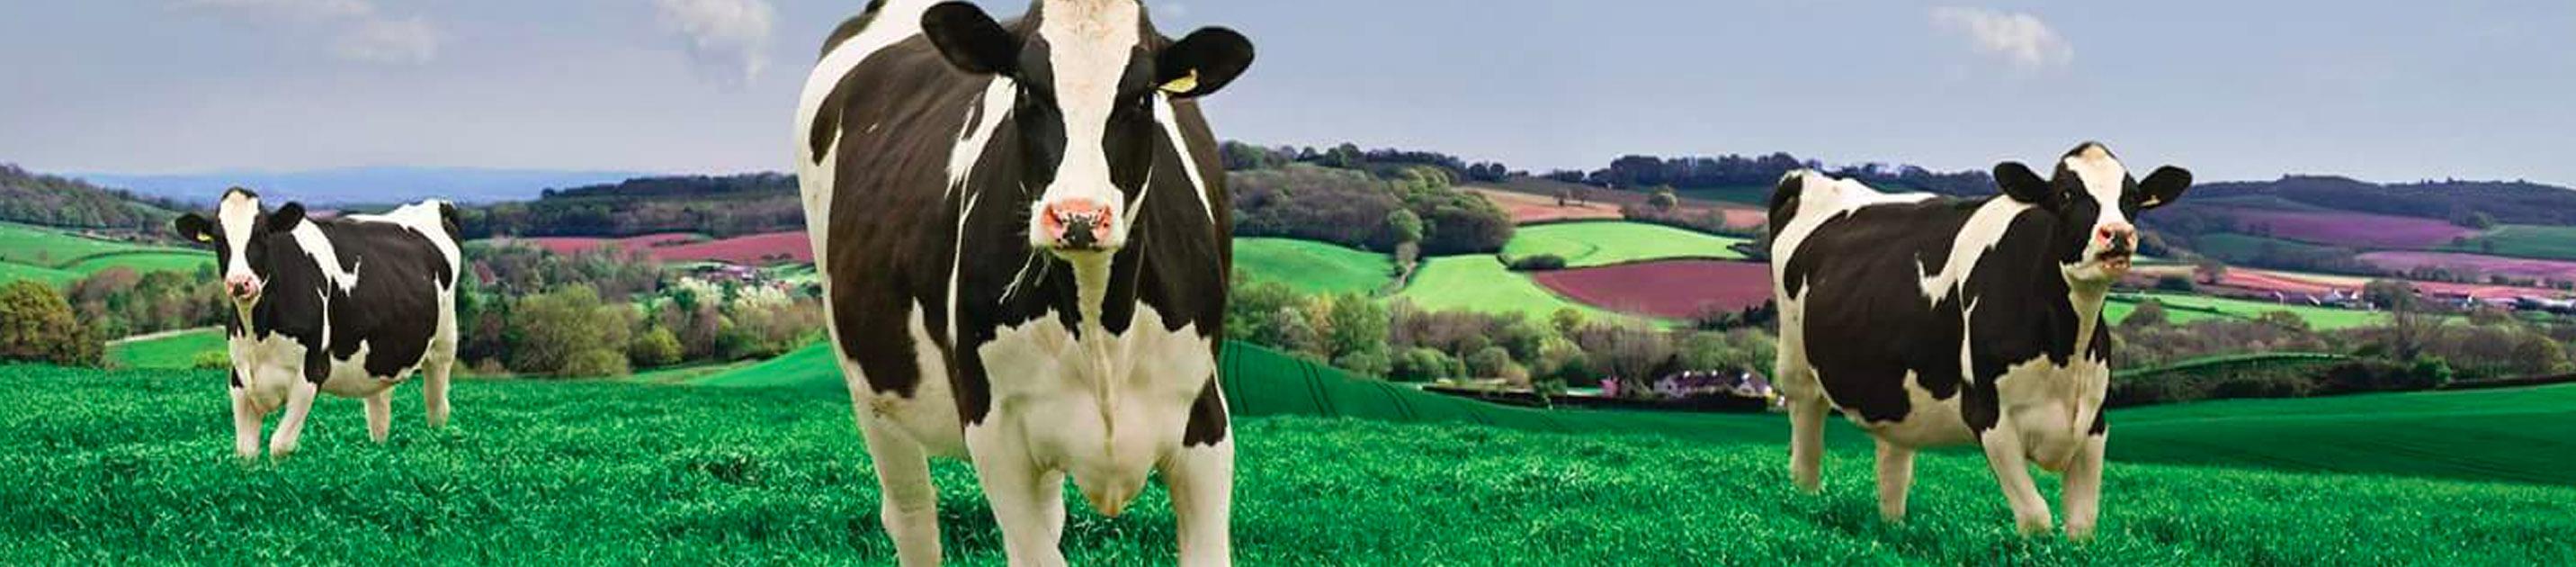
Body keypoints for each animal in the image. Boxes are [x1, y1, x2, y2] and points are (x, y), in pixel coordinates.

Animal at [173, 188, 464, 459]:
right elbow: (245, 452)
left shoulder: (311, 373)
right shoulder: (240, 378)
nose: (240, 283)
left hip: (443, 347)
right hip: (379, 357)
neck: (259, 332)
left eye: (262, 234)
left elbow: (280, 445)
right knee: (379, 412)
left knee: (438, 409)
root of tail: (435, 205)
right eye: (219, 238)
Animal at [792, 0, 1253, 564]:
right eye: (1028, 89)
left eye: (1143, 96)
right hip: (873, 388)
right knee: (911, 517)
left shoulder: (1206, 424)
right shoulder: (996, 437)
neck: (1100, 322)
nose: (1078, 218)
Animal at [1766, 142, 2192, 539]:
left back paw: (1894, 531)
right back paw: (1807, 509)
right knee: (1805, 456)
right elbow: (2036, 518)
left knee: (1893, 464)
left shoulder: (2093, 423)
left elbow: (2082, 525)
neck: (2064, 350)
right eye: (2066, 194)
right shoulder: (1989, 417)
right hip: (1797, 373)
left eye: (2131, 197)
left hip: (1895, 391)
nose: (2118, 234)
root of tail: (1809, 178)